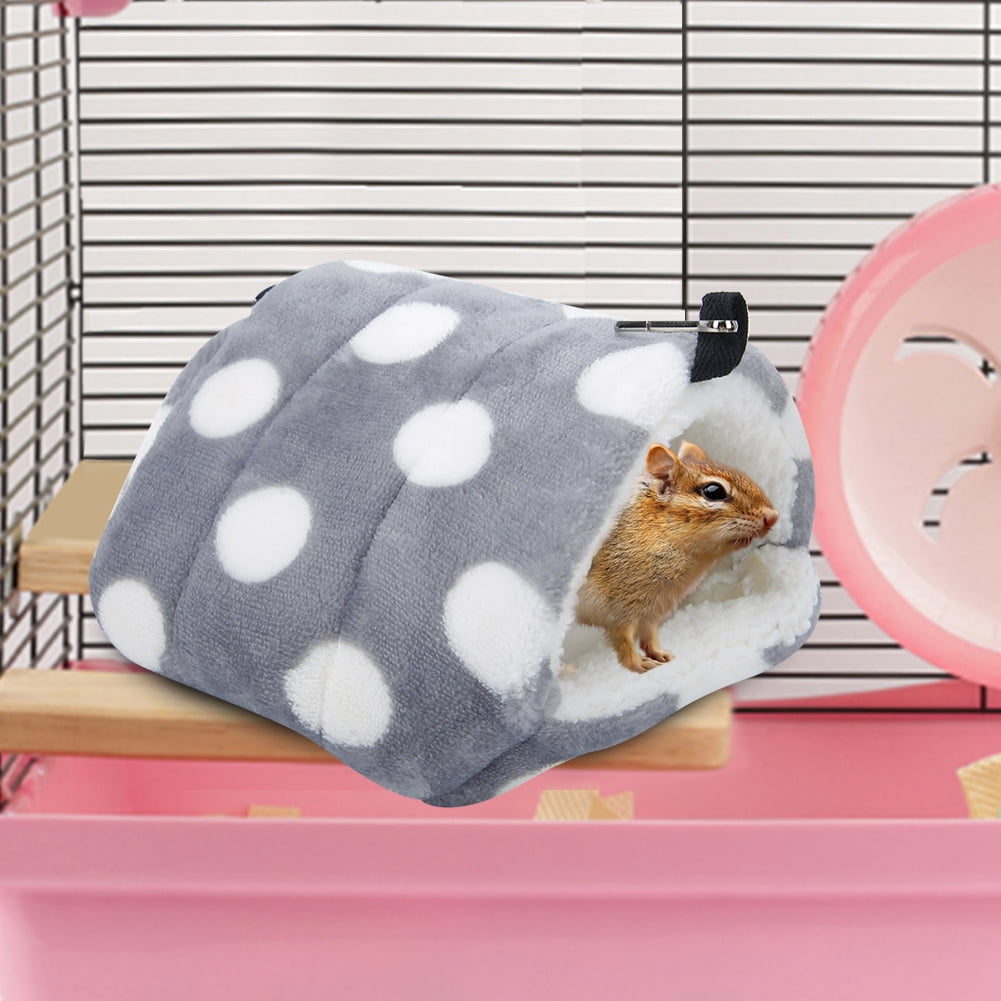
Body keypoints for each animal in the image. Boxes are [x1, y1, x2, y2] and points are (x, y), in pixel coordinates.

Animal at [575, 440, 778, 674]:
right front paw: (638, 664)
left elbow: (650, 636)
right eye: (713, 491)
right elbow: (624, 642)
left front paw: (660, 654)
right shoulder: (619, 613)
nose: (773, 517)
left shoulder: (651, 612)